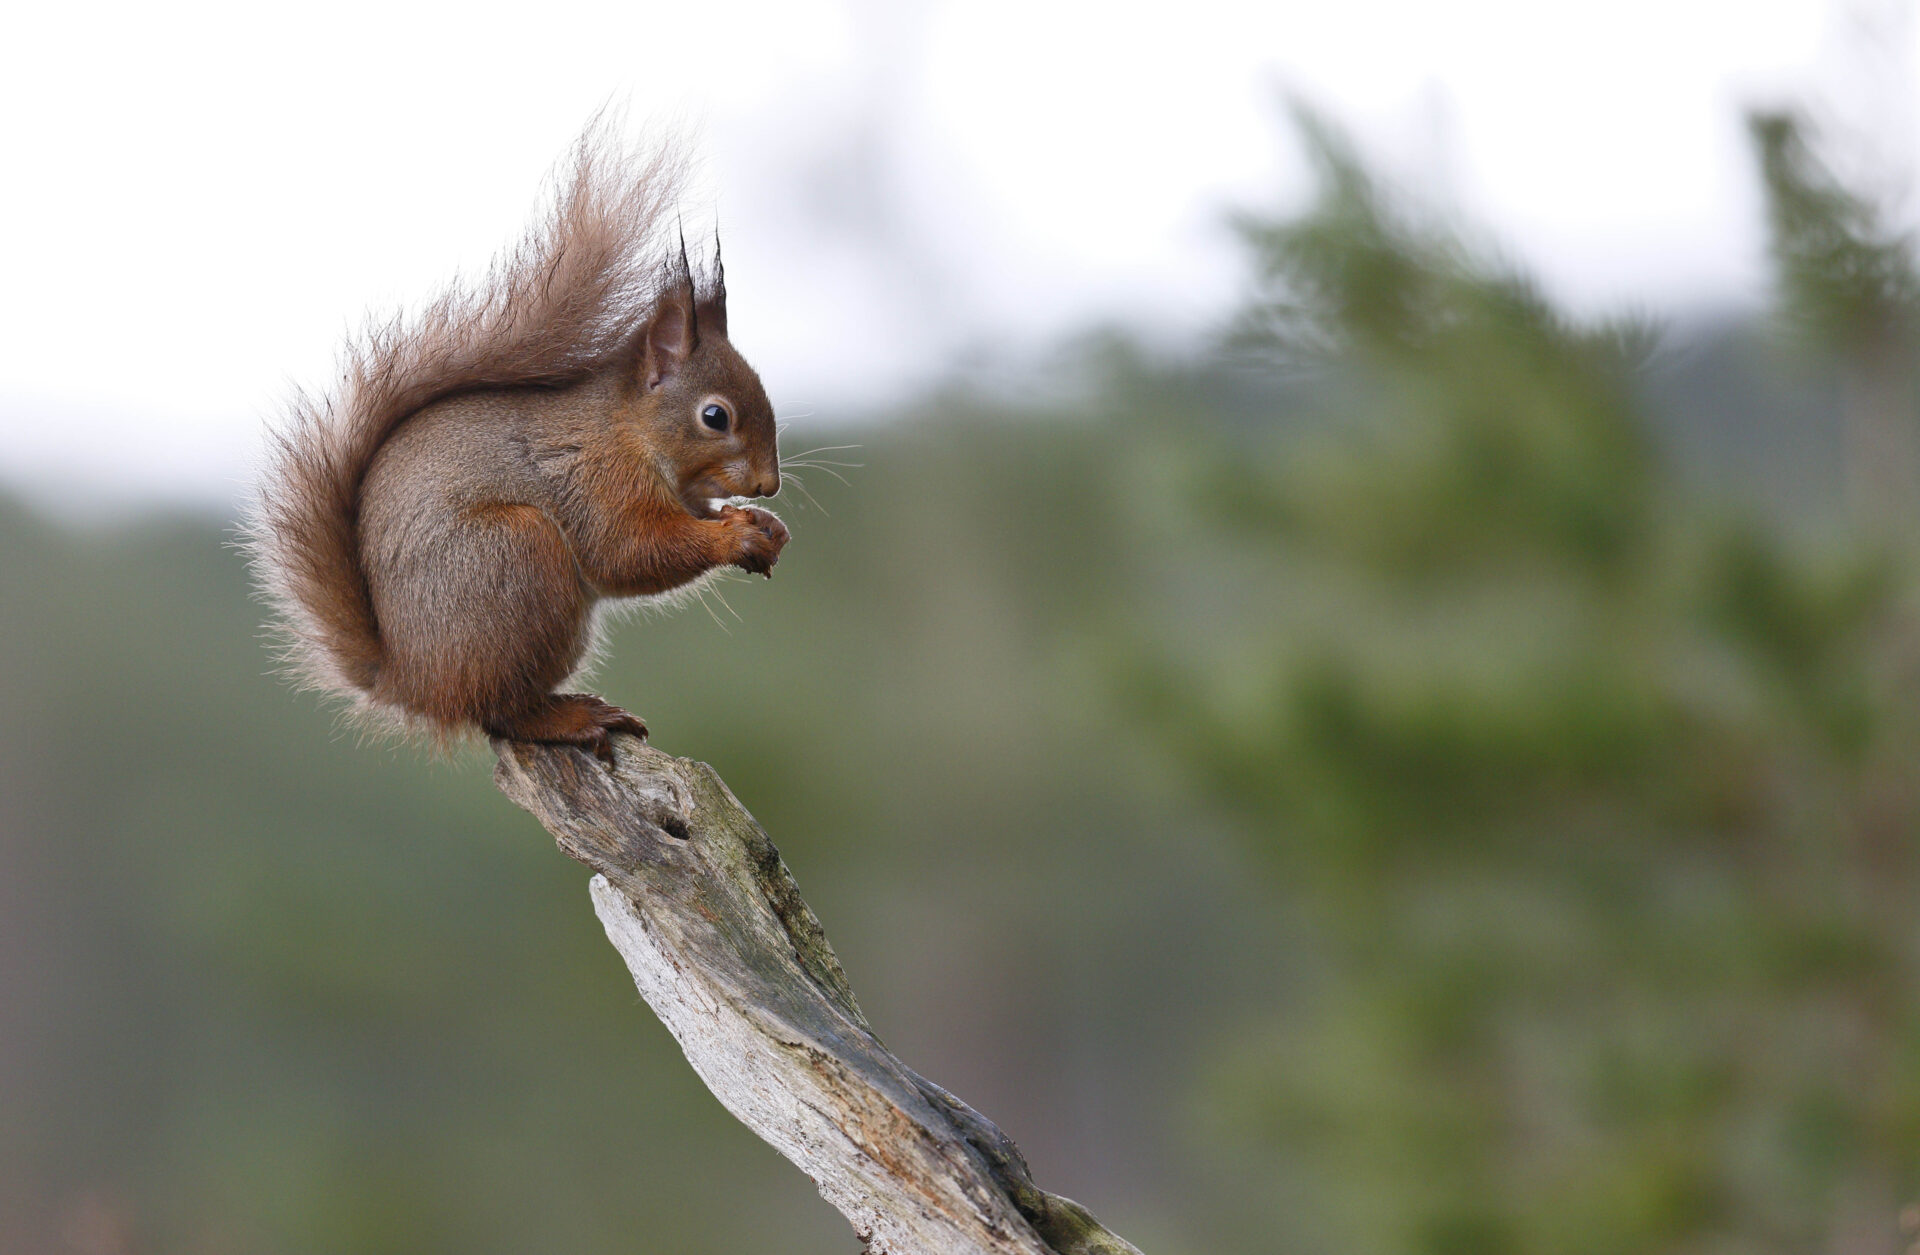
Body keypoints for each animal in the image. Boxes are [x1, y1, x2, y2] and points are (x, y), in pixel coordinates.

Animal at [247, 129, 788, 763]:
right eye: (714, 417)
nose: (768, 485)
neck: (627, 431)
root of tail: (410, 681)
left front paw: (763, 526)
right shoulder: (594, 479)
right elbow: (630, 552)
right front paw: (733, 536)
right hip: (516, 558)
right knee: (499, 712)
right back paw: (571, 718)